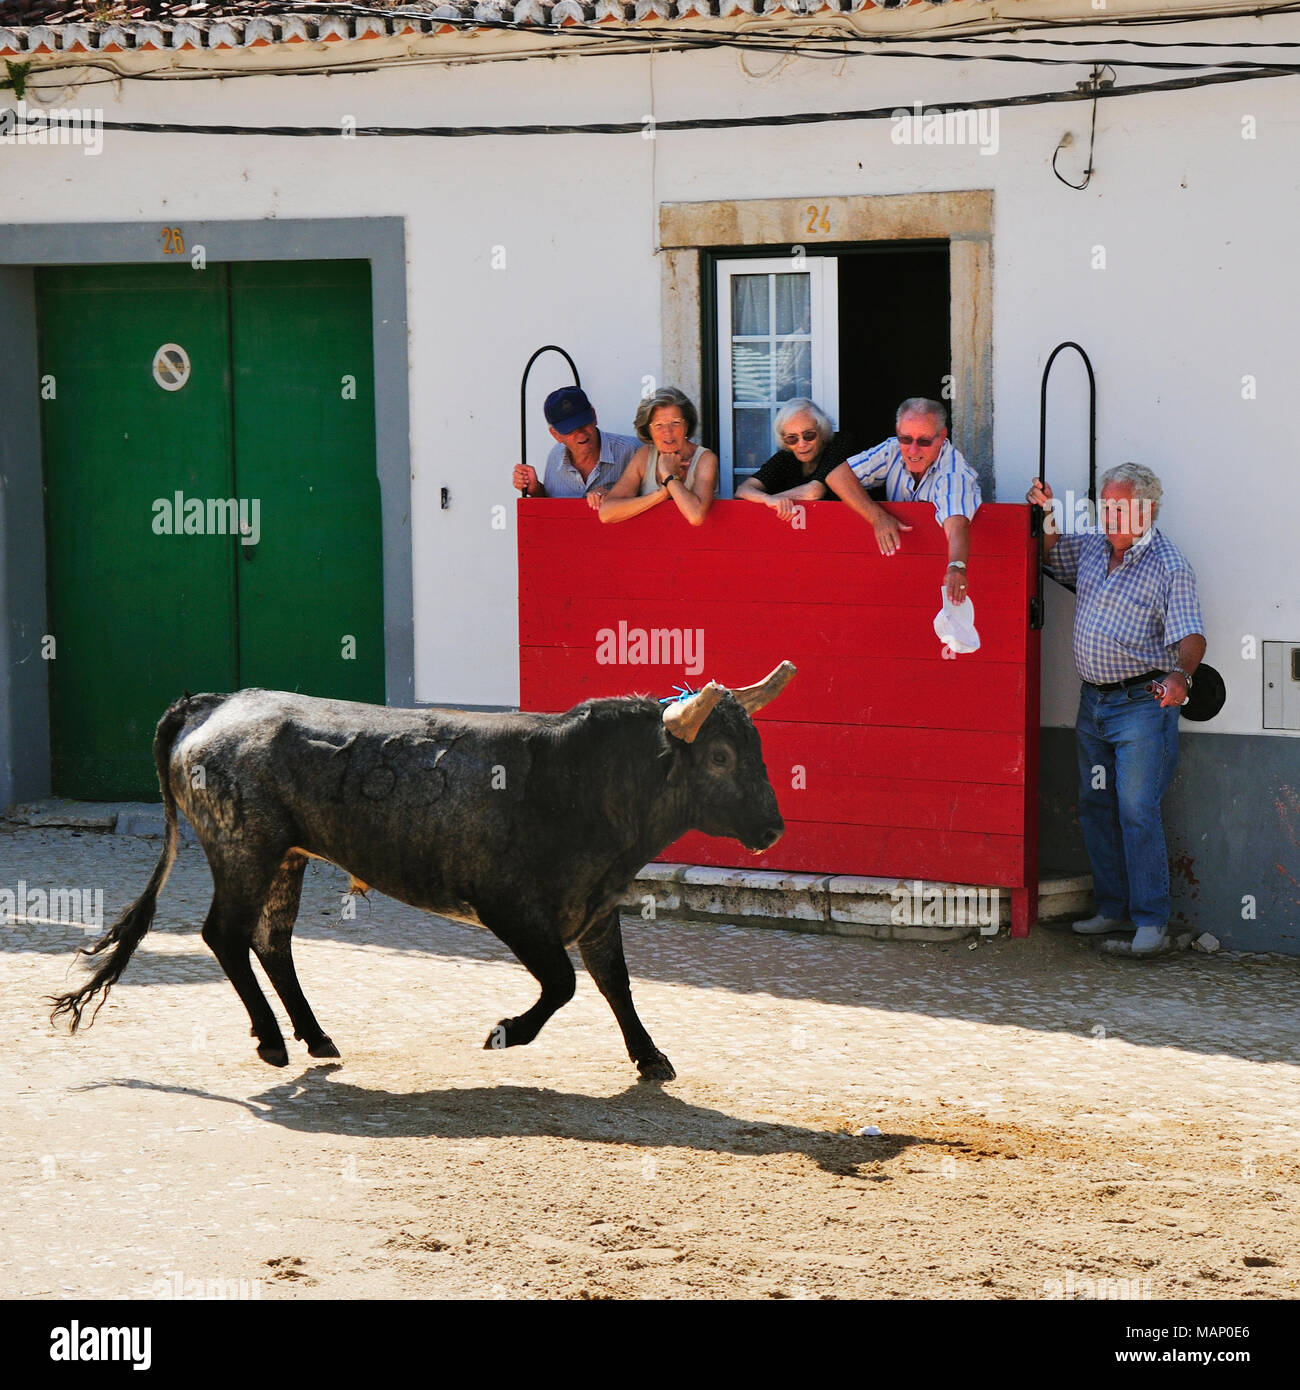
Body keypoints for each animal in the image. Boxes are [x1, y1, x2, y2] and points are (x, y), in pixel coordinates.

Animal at [49, 662, 796, 1081]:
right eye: (722, 756)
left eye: (757, 745)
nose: (773, 829)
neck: (589, 782)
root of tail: (215, 704)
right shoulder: (509, 908)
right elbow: (561, 984)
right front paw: (506, 1033)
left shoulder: (596, 906)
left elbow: (616, 983)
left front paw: (650, 1059)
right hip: (242, 850)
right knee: (225, 935)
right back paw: (272, 1042)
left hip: (285, 858)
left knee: (272, 941)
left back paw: (315, 1037)